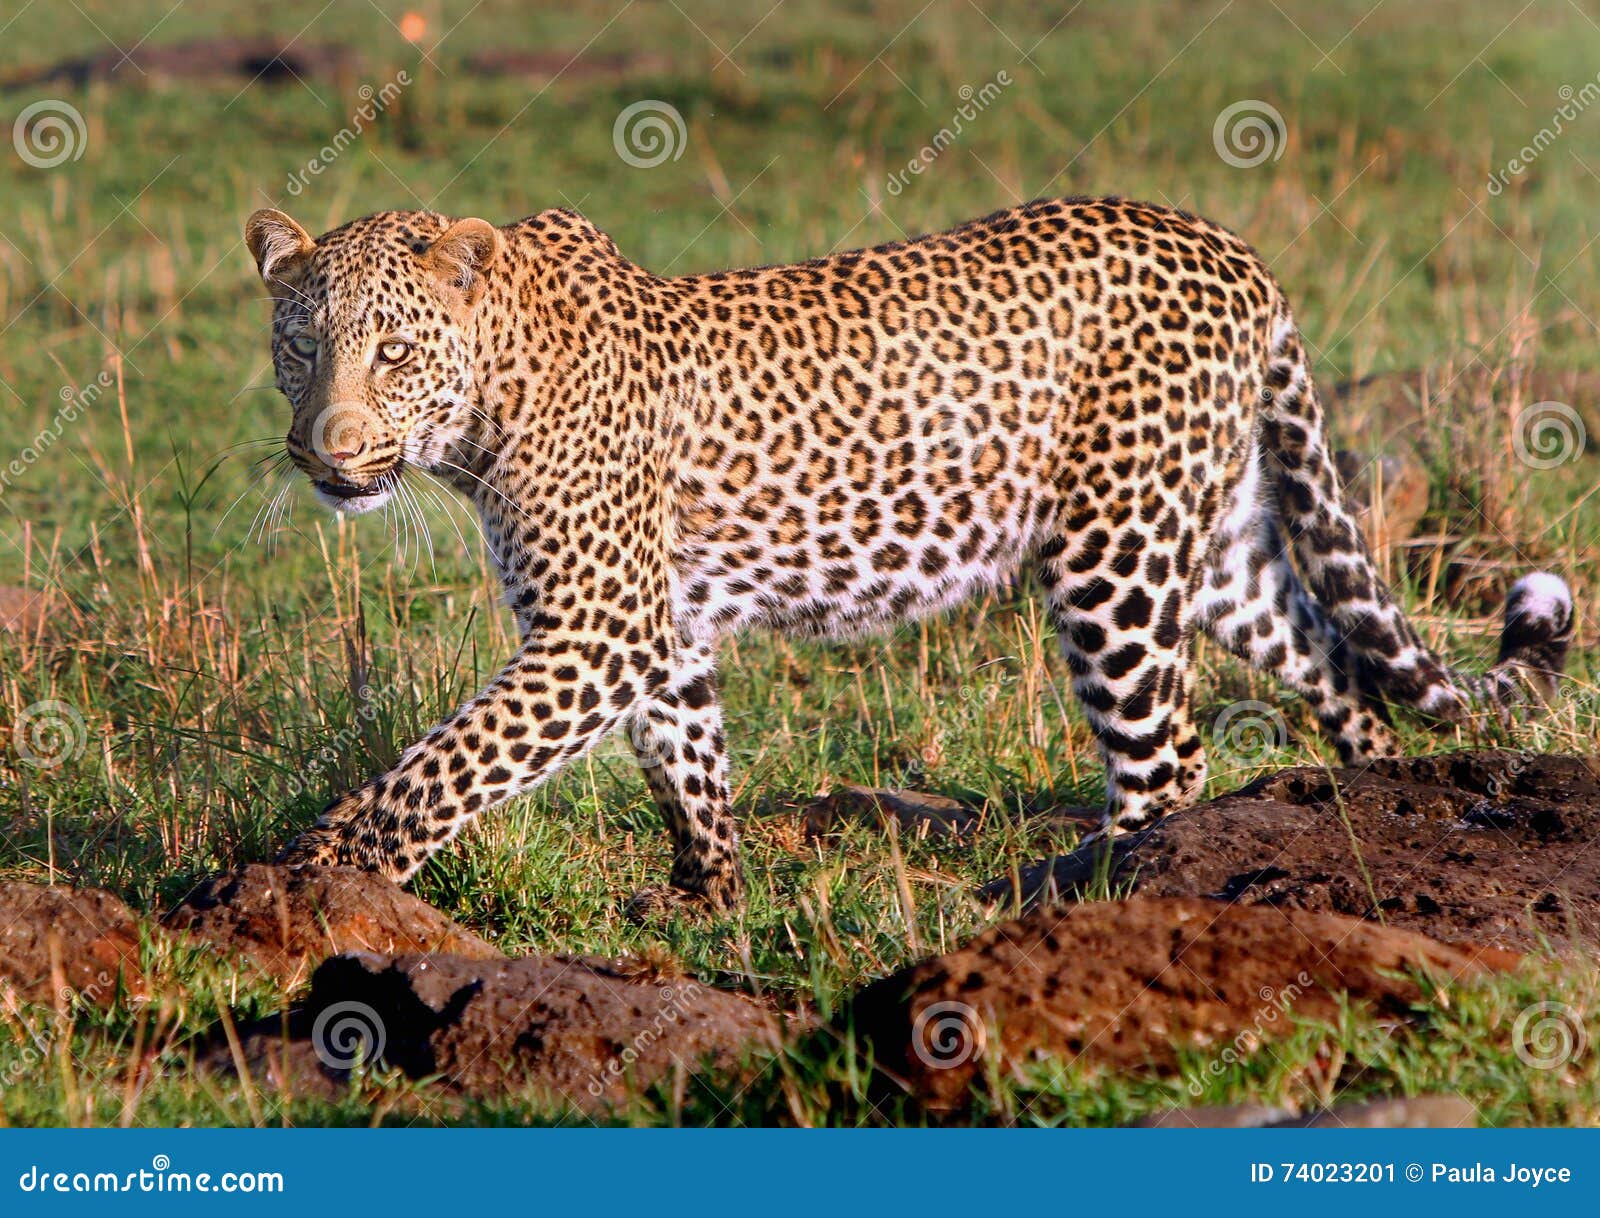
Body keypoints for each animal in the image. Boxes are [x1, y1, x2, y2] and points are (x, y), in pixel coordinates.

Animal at [245, 196, 1573, 915]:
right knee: (1337, 661)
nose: (325, 449)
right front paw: (707, 895)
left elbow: (441, 767)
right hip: (1210, 544)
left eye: (393, 354)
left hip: (1111, 558)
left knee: (1169, 758)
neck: (490, 394)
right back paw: (1362, 808)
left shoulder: (597, 627)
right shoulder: (653, 627)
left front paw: (320, 880)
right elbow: (688, 764)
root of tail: (1227, 245)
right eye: (301, 348)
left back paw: (1078, 890)